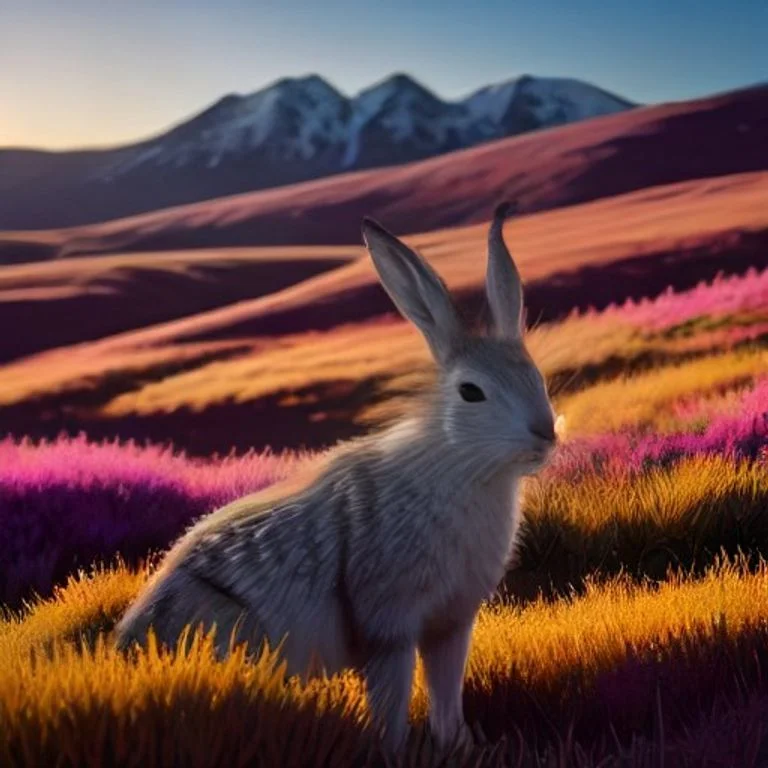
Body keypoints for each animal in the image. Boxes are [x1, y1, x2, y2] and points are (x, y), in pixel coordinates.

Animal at [114, 202, 557, 755]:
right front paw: (393, 751)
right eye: (471, 392)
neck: (463, 464)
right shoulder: (387, 622)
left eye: (537, 378)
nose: (546, 434)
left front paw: (459, 746)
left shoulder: (451, 623)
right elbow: (390, 698)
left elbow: (446, 693)